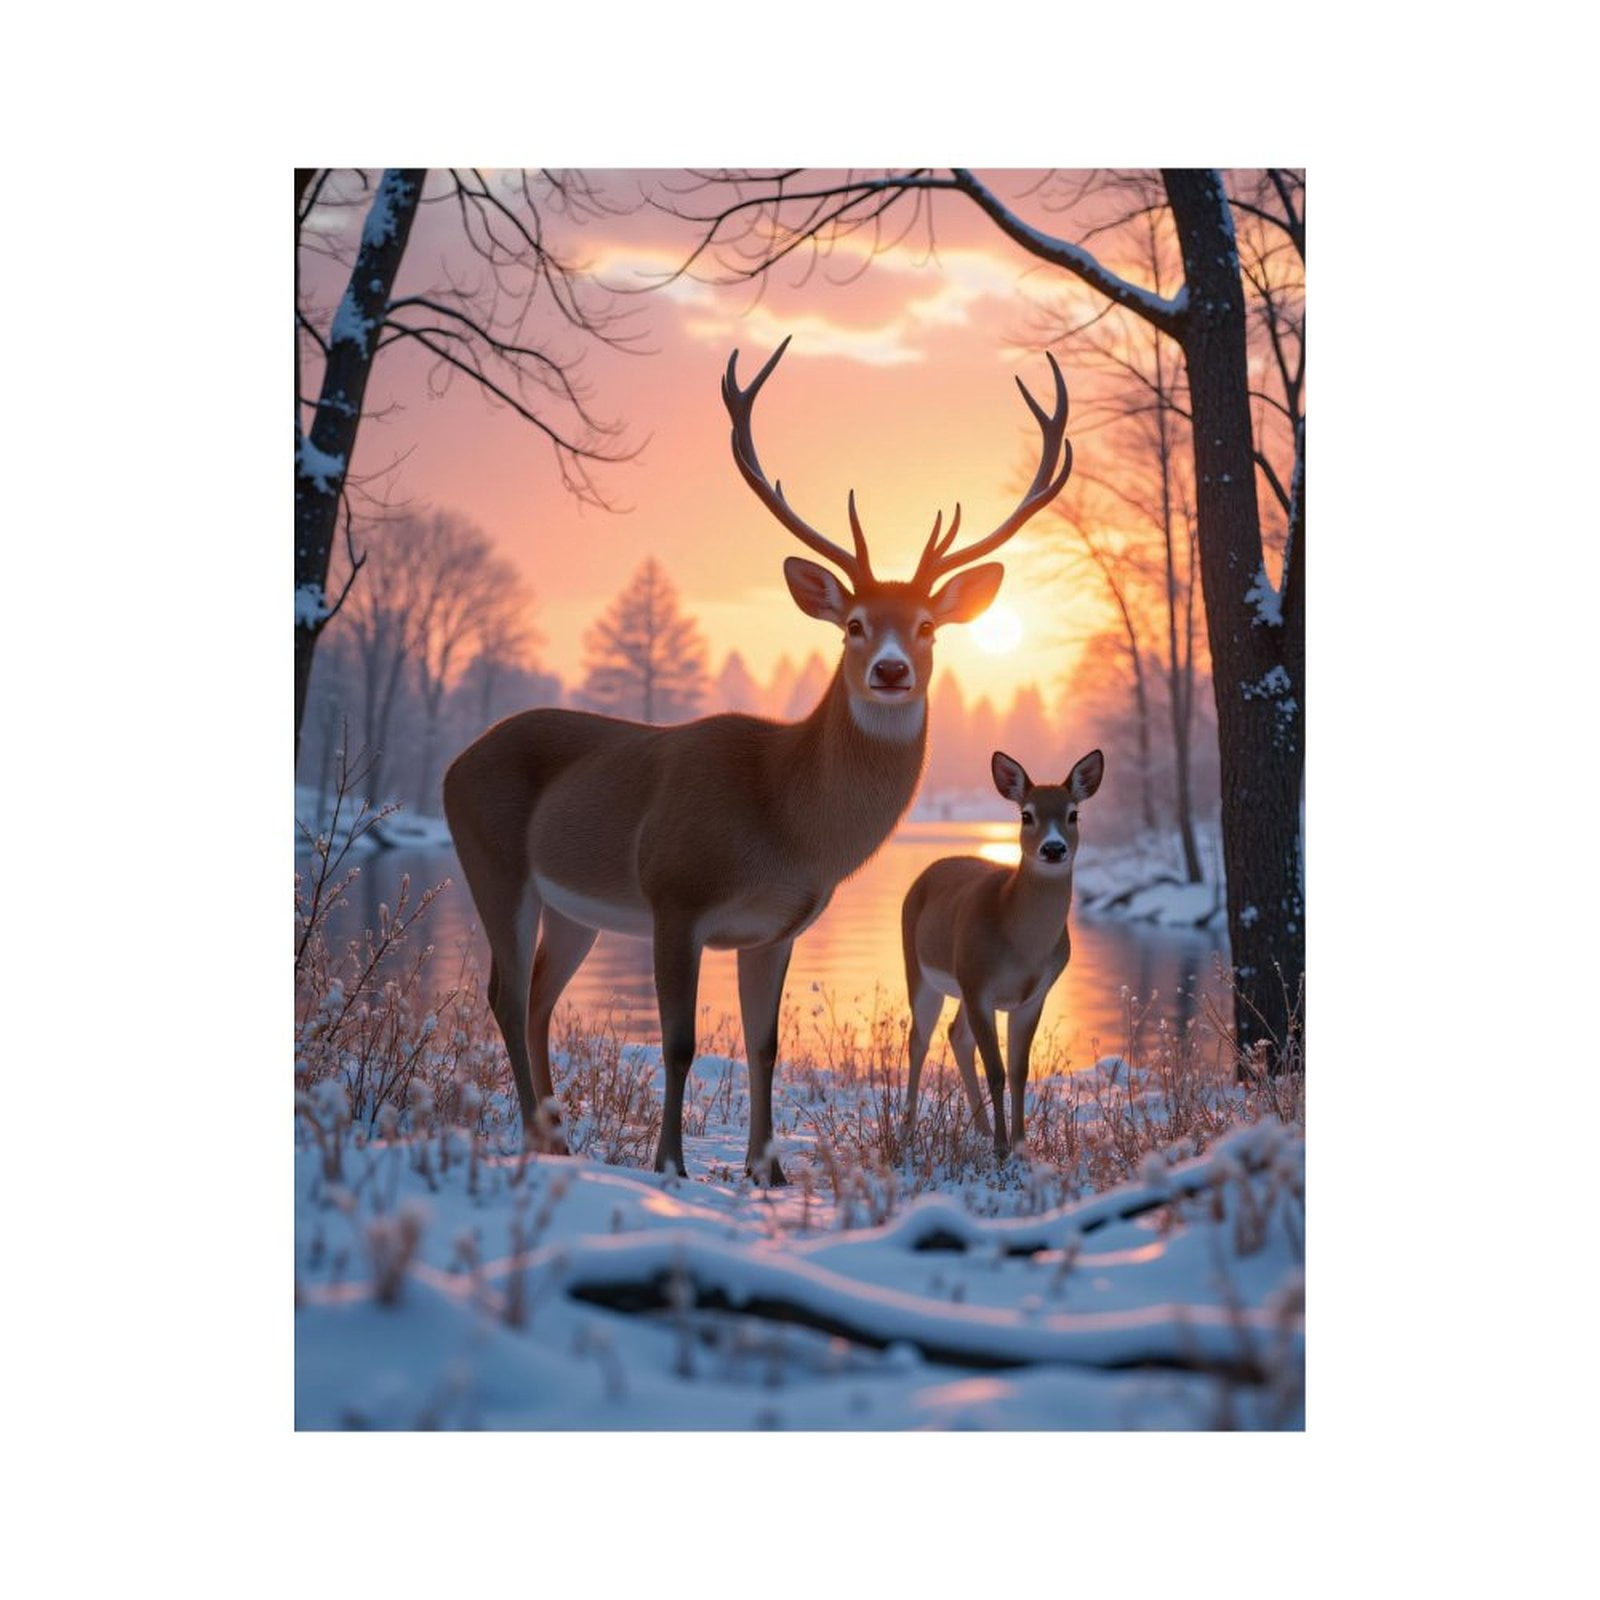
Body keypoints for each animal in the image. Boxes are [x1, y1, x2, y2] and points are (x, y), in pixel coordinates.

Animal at [442, 337, 1073, 1184]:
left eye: (929, 626)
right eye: (854, 624)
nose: (892, 670)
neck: (781, 813)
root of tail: (454, 762)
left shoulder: (776, 927)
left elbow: (765, 1045)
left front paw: (766, 1170)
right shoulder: (674, 895)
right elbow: (679, 1042)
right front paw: (670, 1165)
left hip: (574, 909)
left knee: (540, 995)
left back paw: (557, 1137)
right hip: (493, 860)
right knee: (507, 994)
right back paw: (534, 1136)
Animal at [900, 746, 1105, 1160]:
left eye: (1073, 814)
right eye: (1026, 814)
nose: (1053, 848)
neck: (1022, 947)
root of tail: (927, 873)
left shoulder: (1032, 996)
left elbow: (1018, 1070)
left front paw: (1021, 1144)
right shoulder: (979, 985)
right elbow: (995, 1070)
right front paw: (1000, 1147)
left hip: (961, 986)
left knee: (955, 1034)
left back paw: (977, 1127)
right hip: (921, 970)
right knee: (919, 1039)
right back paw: (909, 1128)